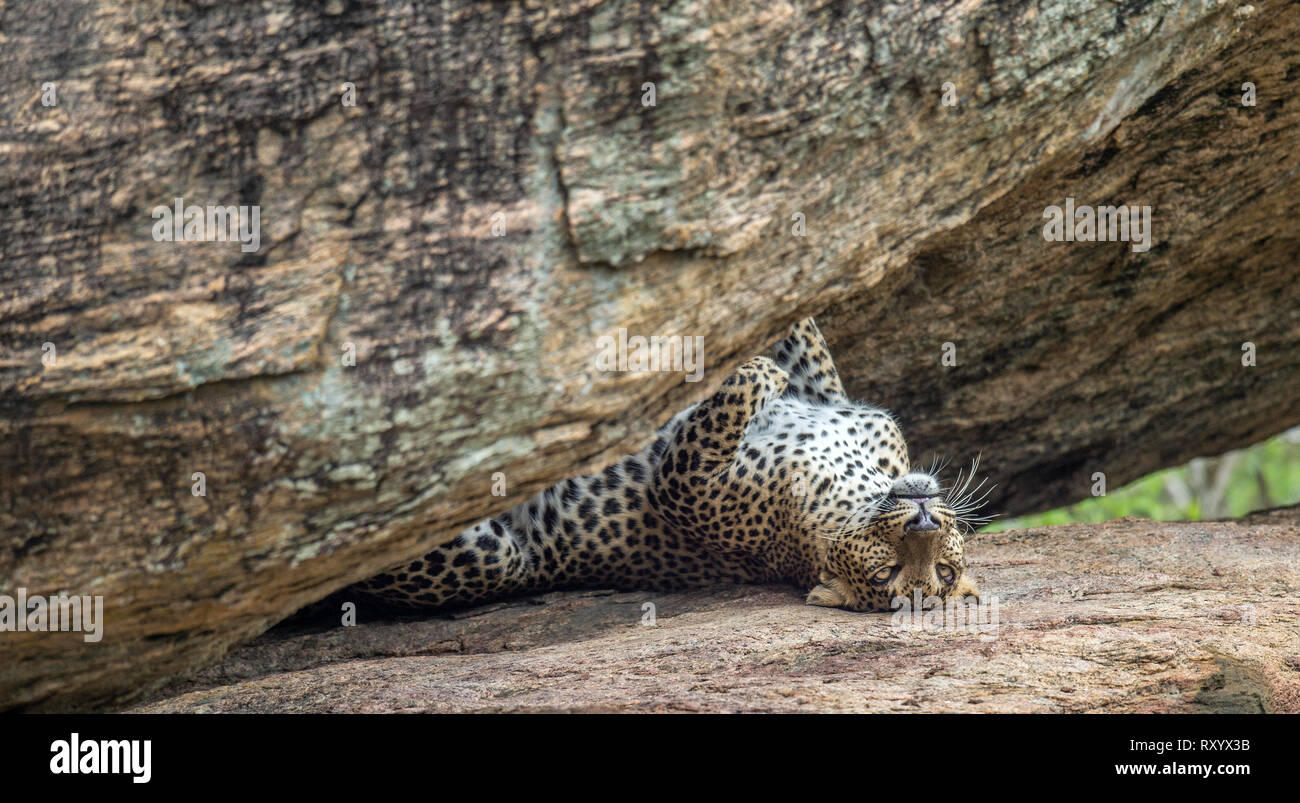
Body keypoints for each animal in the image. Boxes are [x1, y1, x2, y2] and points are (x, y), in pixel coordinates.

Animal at [348, 318, 991, 613]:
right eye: (949, 572)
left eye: (888, 578)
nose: (924, 517)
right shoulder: (835, 400)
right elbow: (806, 341)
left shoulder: (683, 483)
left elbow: (740, 392)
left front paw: (746, 365)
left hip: (484, 556)